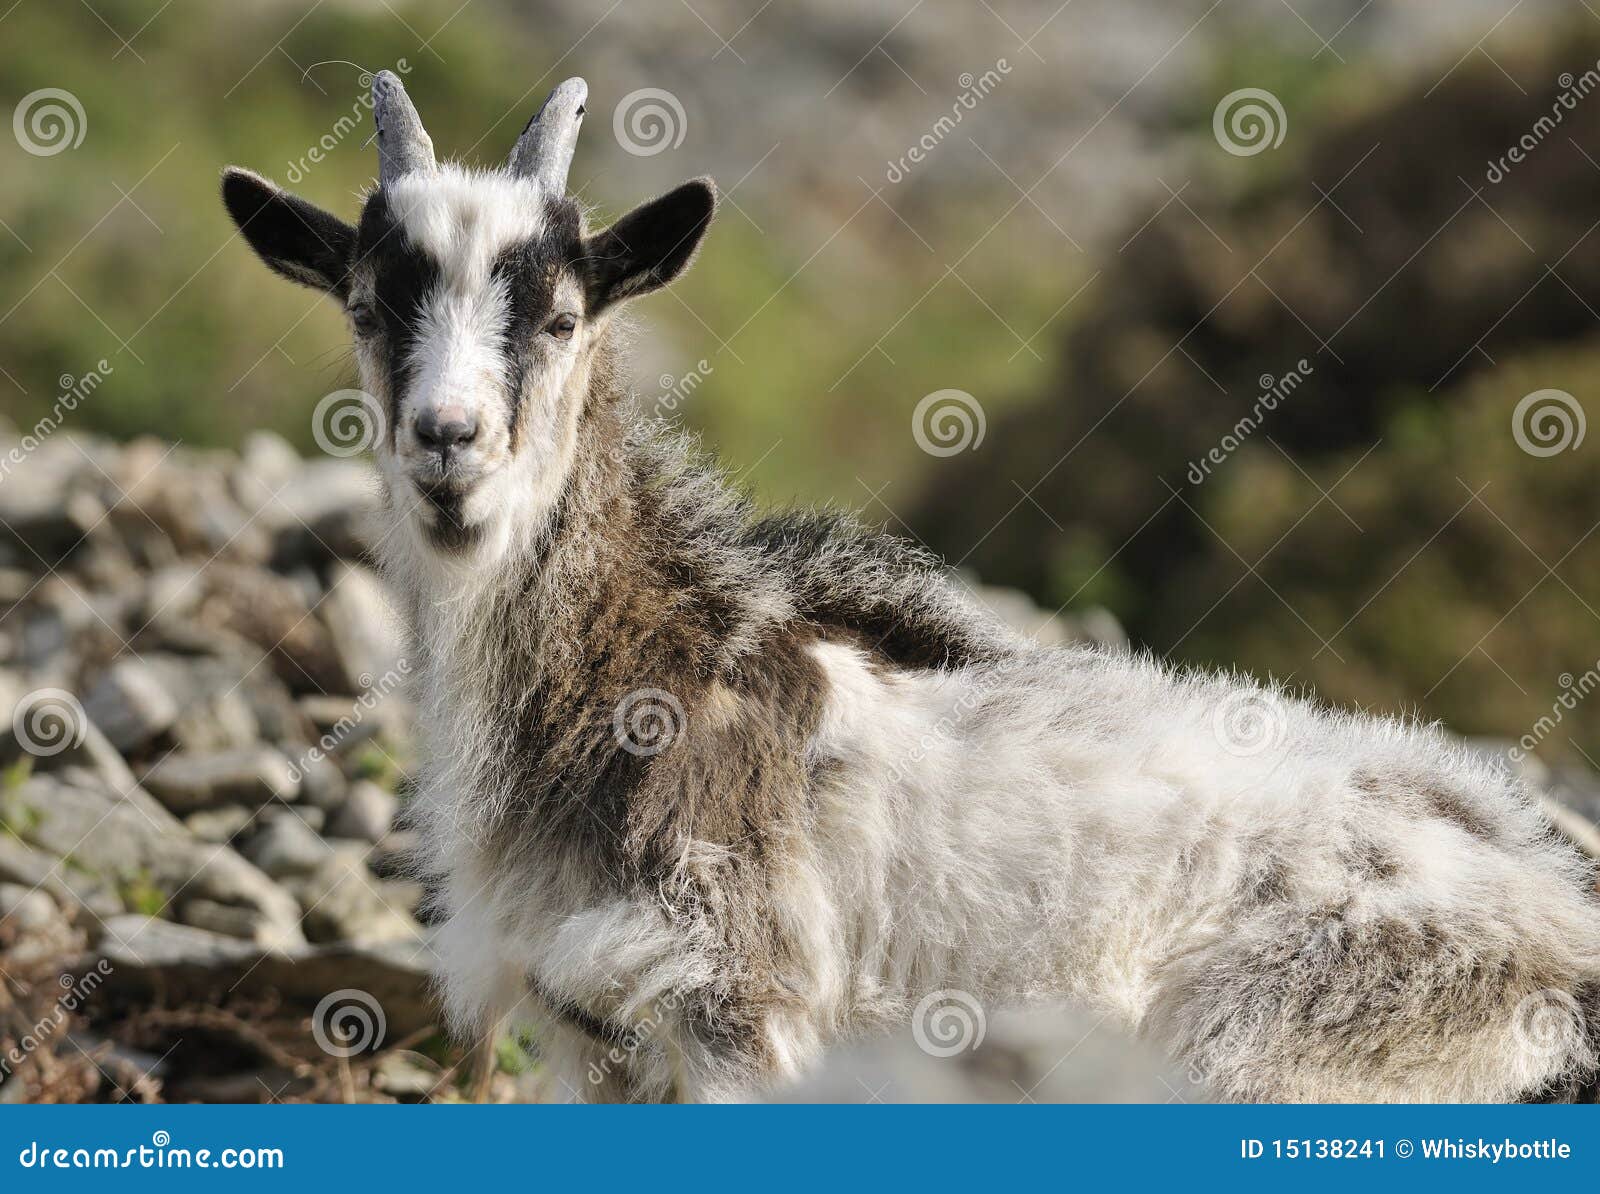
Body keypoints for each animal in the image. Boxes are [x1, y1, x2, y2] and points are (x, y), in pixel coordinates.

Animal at [222, 72, 1600, 1103]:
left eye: (560, 318)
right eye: (366, 305)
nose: (447, 445)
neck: (645, 668)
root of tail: (1560, 934)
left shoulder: (741, 1013)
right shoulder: (586, 1034)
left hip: (1286, 1041)